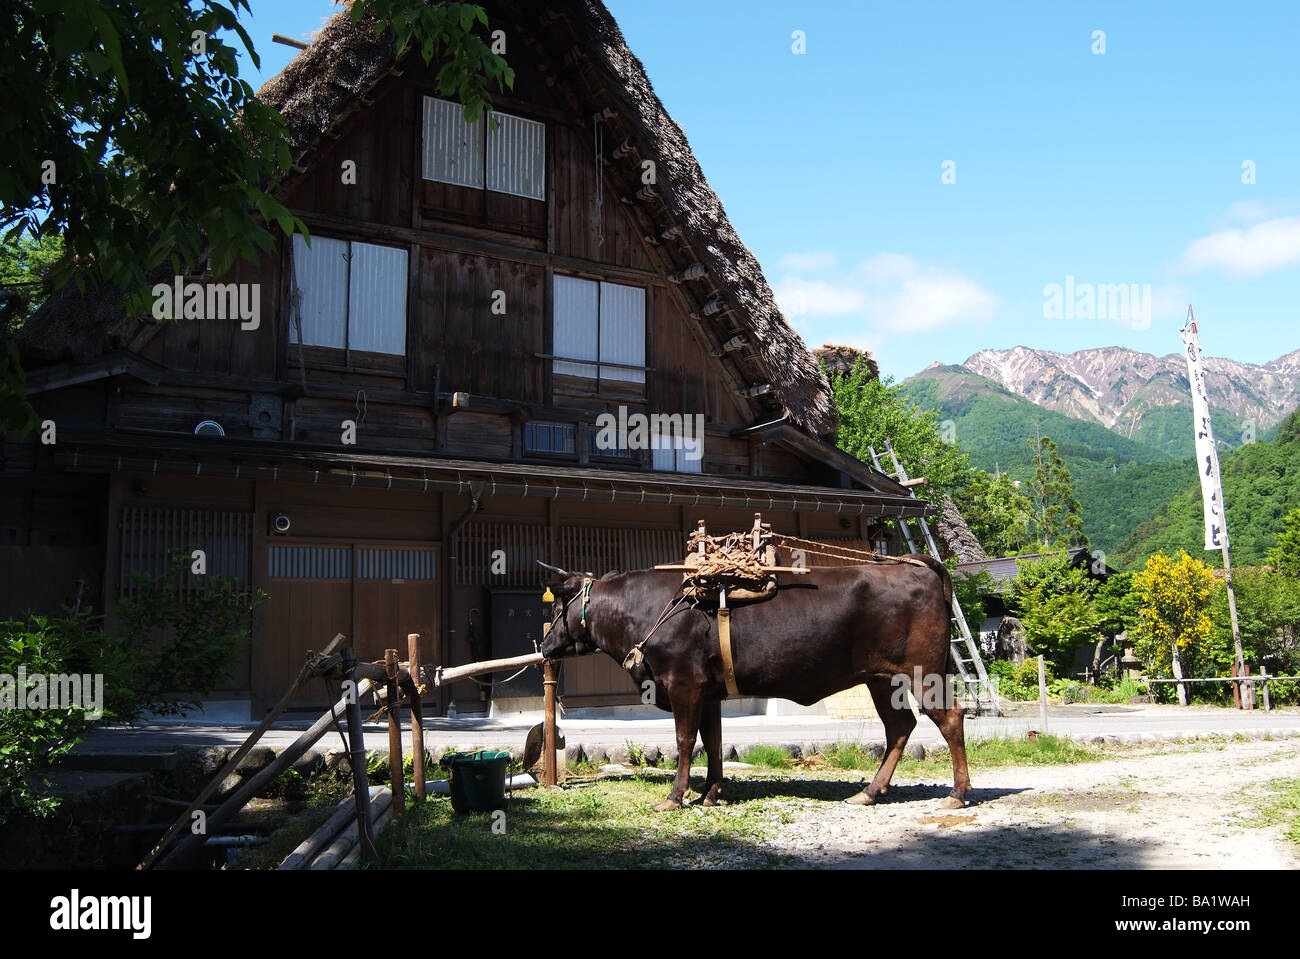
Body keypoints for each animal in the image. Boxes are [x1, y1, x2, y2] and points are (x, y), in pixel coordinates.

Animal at [540, 557, 971, 812]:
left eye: (558, 606)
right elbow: (712, 741)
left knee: (950, 718)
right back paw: (867, 792)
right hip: (881, 677)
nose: (543, 646)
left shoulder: (683, 684)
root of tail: (911, 565)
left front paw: (676, 797)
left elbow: (684, 740)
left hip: (923, 672)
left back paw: (957, 794)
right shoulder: (709, 692)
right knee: (899, 726)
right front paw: (710, 794)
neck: (646, 610)